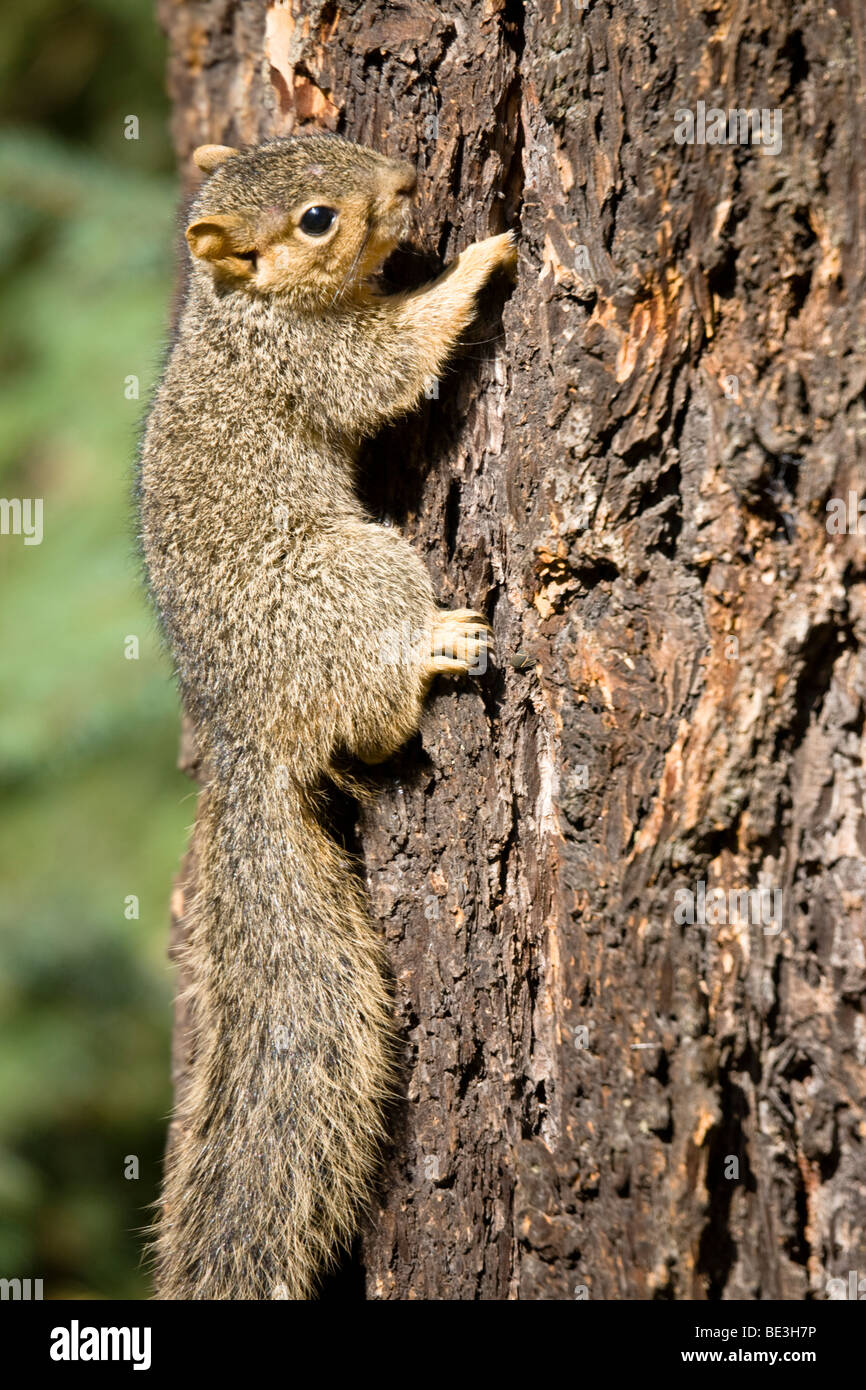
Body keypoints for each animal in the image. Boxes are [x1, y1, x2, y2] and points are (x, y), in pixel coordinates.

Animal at [137, 134, 516, 1300]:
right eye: (316, 219)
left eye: (338, 146)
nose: (407, 186)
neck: (237, 314)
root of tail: (245, 732)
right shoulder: (311, 364)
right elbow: (391, 364)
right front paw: (480, 262)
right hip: (357, 572)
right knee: (377, 714)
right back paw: (437, 647)